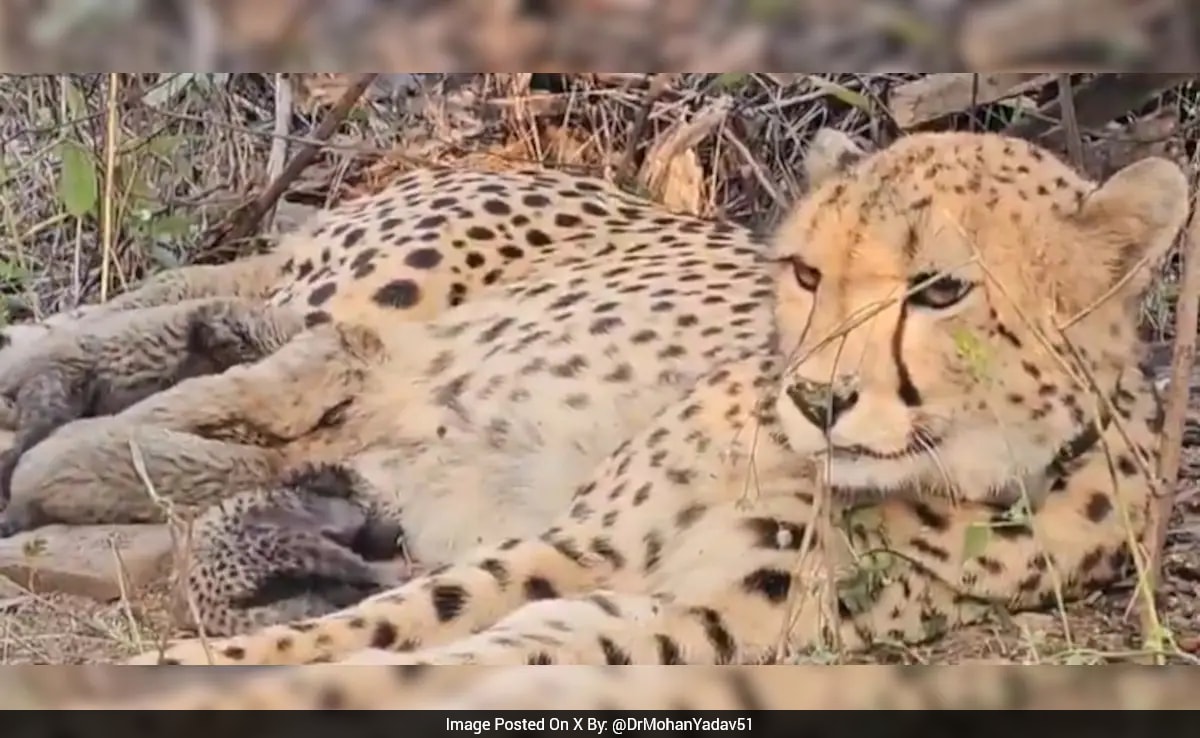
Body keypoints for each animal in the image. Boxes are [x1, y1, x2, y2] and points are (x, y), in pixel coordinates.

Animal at [2, 129, 1189, 712]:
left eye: (941, 291)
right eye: (806, 273)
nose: (814, 398)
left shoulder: (682, 622)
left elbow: (453, 648)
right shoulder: (580, 543)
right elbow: (381, 625)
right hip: (381, 293)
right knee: (238, 336)